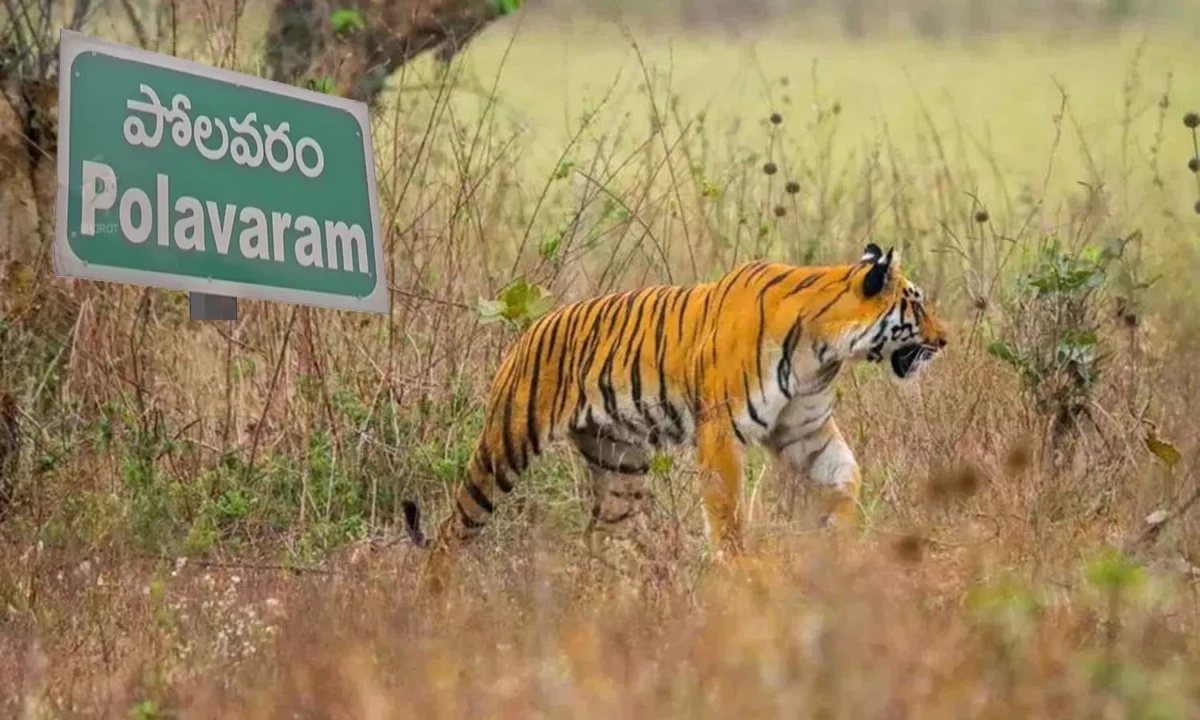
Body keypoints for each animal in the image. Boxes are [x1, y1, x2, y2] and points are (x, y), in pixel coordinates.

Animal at [401, 243, 948, 590]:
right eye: (917, 306)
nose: (945, 340)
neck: (826, 348)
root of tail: (532, 328)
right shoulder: (721, 429)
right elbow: (726, 508)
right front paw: (737, 566)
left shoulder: (805, 429)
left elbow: (845, 474)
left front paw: (841, 535)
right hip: (506, 446)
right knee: (455, 525)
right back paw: (435, 596)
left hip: (619, 461)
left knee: (601, 537)